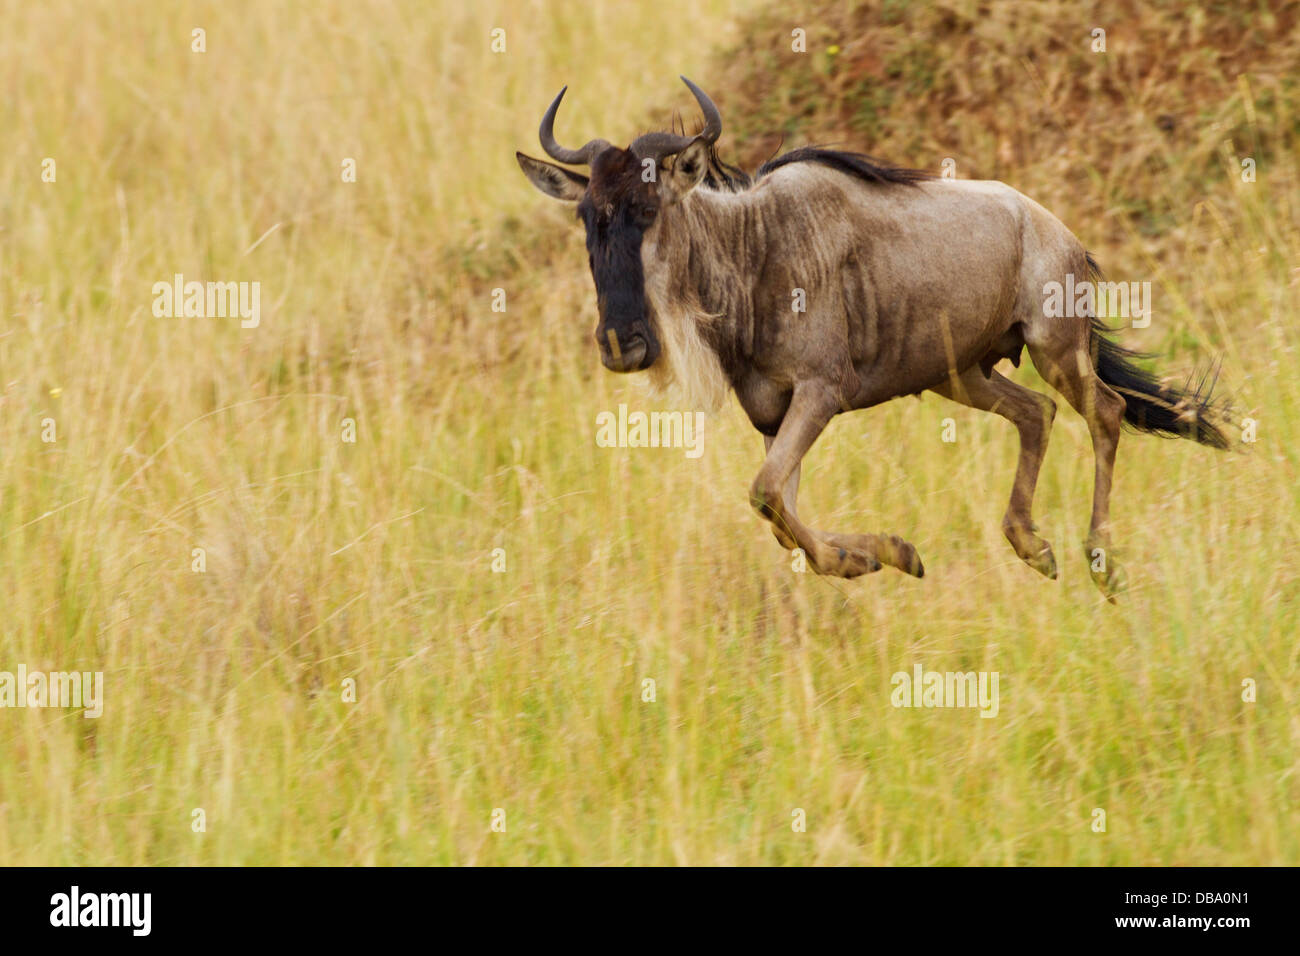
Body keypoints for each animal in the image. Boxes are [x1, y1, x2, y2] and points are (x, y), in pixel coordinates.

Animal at [516, 77, 1227, 597]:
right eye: (588, 218)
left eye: (648, 209)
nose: (621, 344)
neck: (751, 251)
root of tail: (1062, 234)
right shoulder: (774, 416)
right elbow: (780, 513)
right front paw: (890, 554)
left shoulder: (822, 392)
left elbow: (765, 493)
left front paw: (877, 557)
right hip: (961, 374)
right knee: (1037, 413)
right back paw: (1033, 546)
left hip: (1055, 347)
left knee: (1103, 411)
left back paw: (1099, 562)